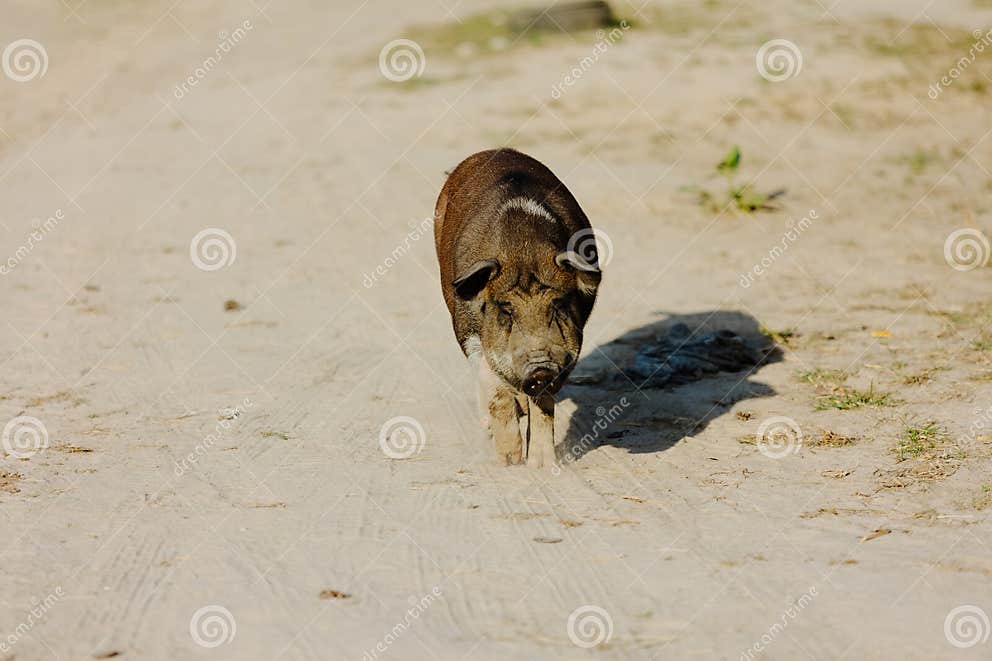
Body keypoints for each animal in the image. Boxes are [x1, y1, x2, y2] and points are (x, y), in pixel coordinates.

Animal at [433, 149, 602, 467]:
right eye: (506, 309)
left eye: (558, 304)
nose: (540, 367)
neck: (523, 252)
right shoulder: (469, 331)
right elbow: (496, 391)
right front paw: (510, 463)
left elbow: (544, 405)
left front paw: (542, 466)